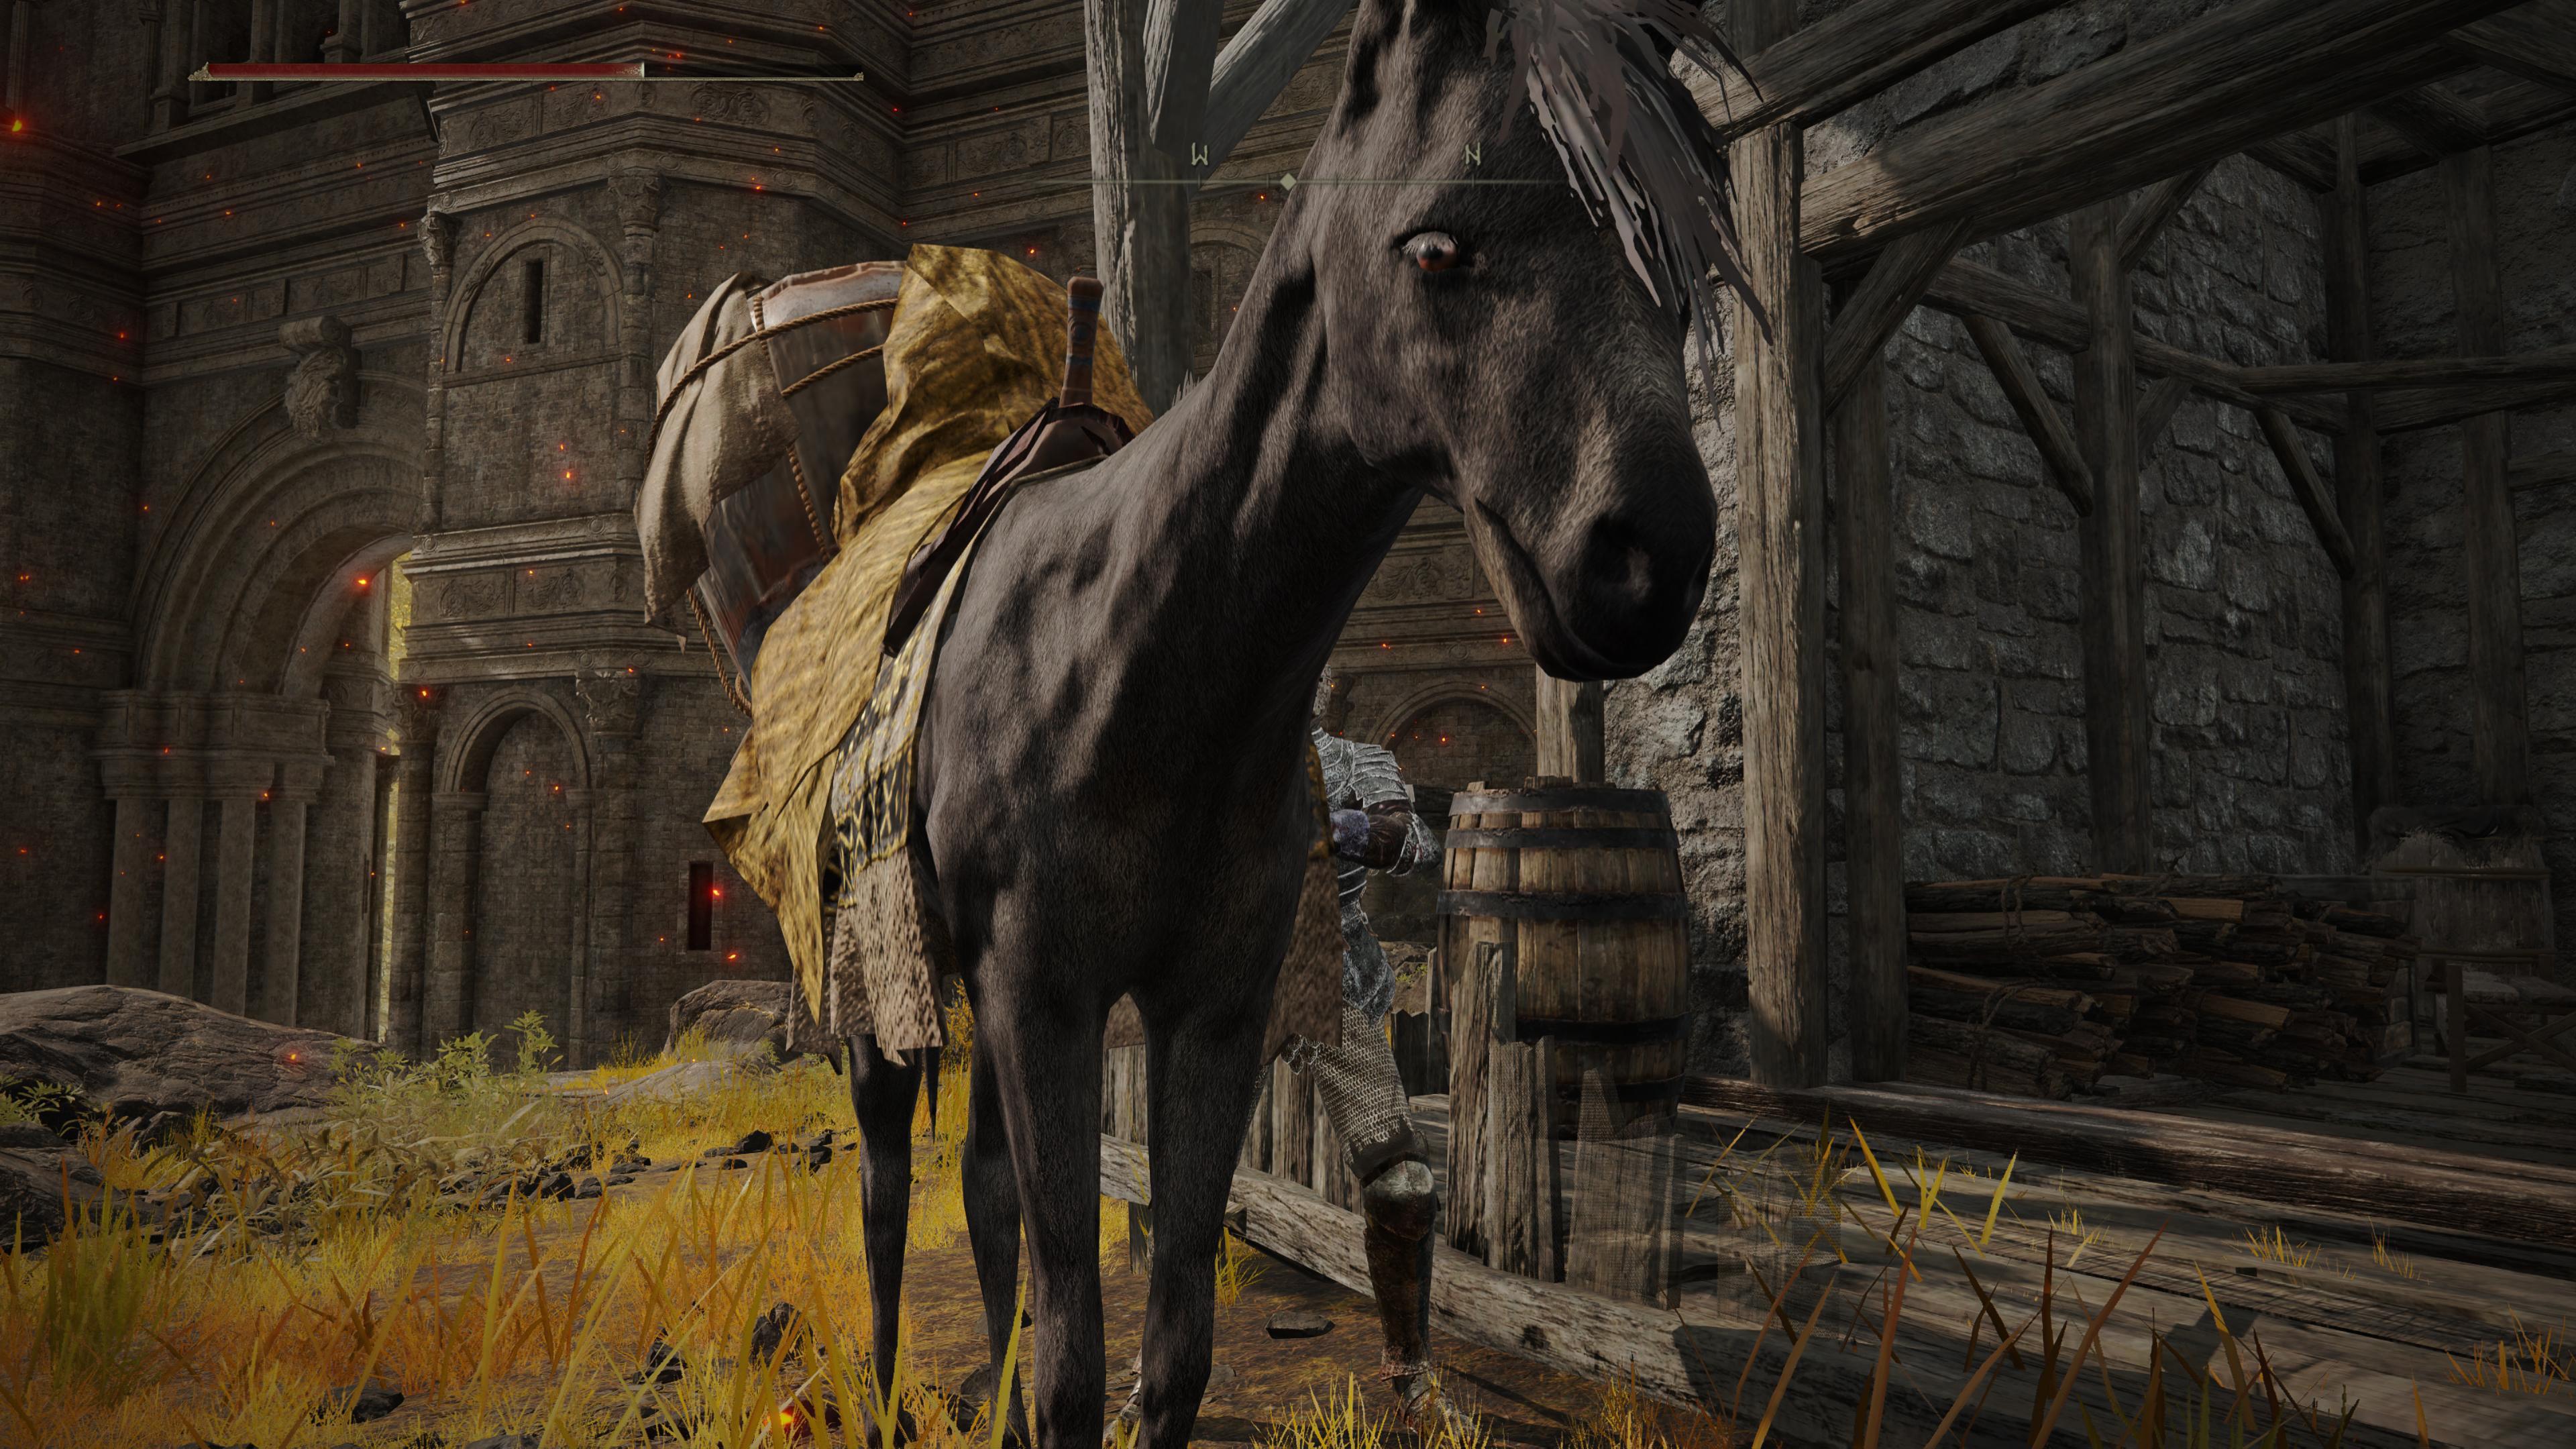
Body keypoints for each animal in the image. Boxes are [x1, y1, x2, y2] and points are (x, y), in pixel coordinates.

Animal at [856, 2, 1747, 1442]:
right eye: (1438, 249)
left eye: (1673, 270)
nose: (1649, 565)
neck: (1145, 668)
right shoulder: (1045, 995)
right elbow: (1073, 1353)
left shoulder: (1206, 1014)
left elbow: (1171, 1349)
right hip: (880, 980)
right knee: (888, 1188)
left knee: (984, 1191)